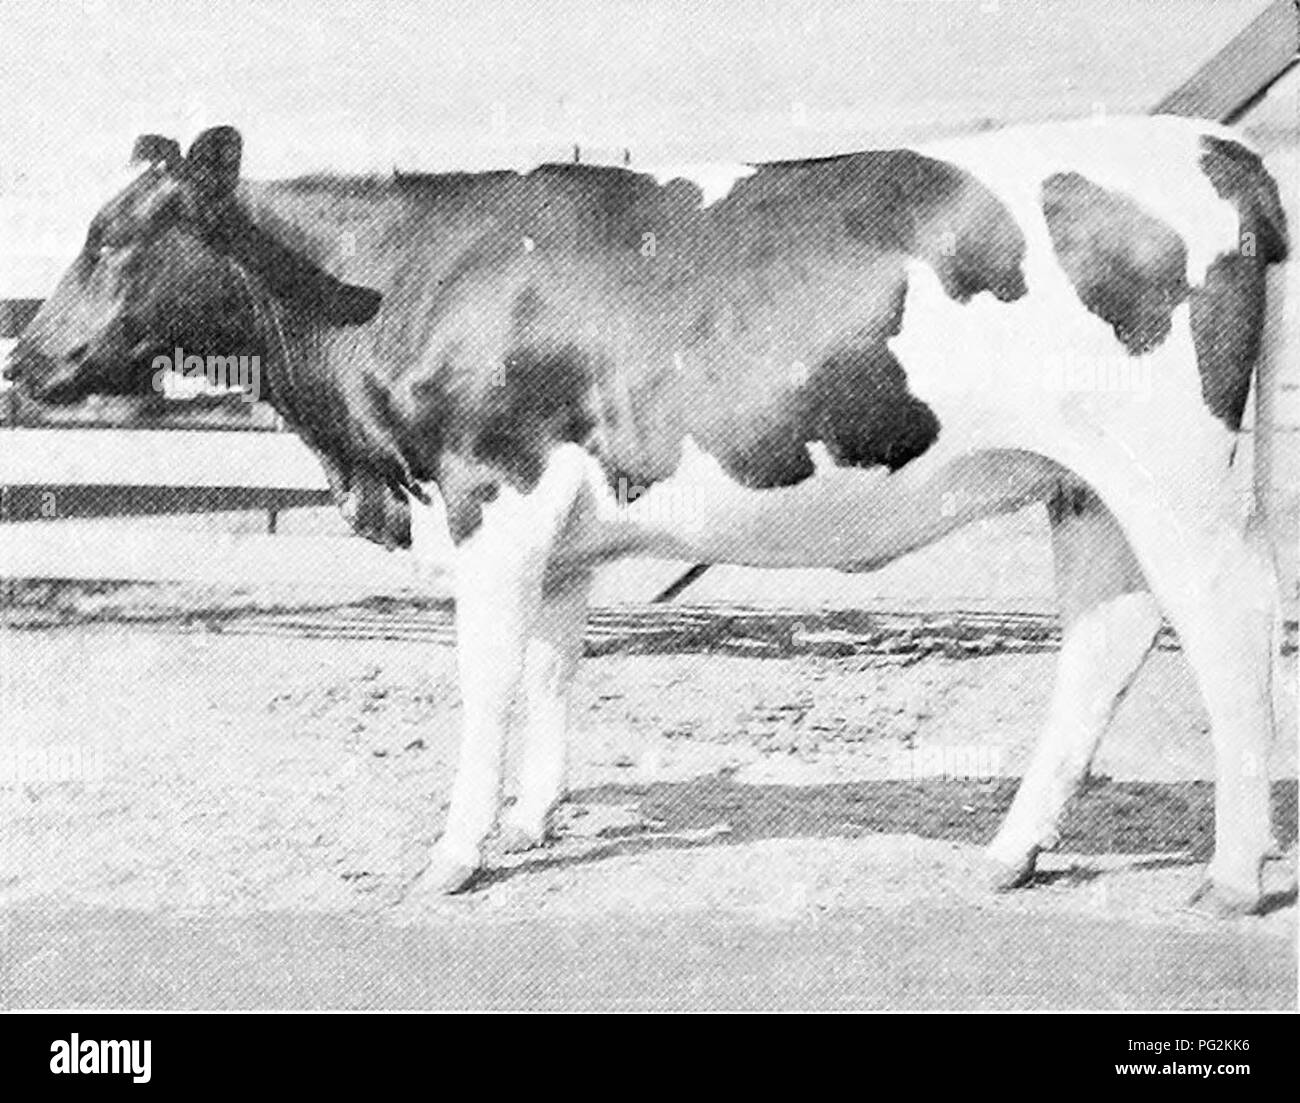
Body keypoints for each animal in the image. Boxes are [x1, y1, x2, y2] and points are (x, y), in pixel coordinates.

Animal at [6, 120, 1289, 915]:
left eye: (114, 237)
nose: (26, 357)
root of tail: (1217, 147)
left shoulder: (489, 486)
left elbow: (490, 676)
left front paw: (457, 851)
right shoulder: (559, 528)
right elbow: (556, 661)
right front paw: (533, 820)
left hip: (1175, 474)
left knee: (1229, 625)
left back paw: (1232, 873)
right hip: (1088, 483)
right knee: (1107, 638)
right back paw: (1013, 852)